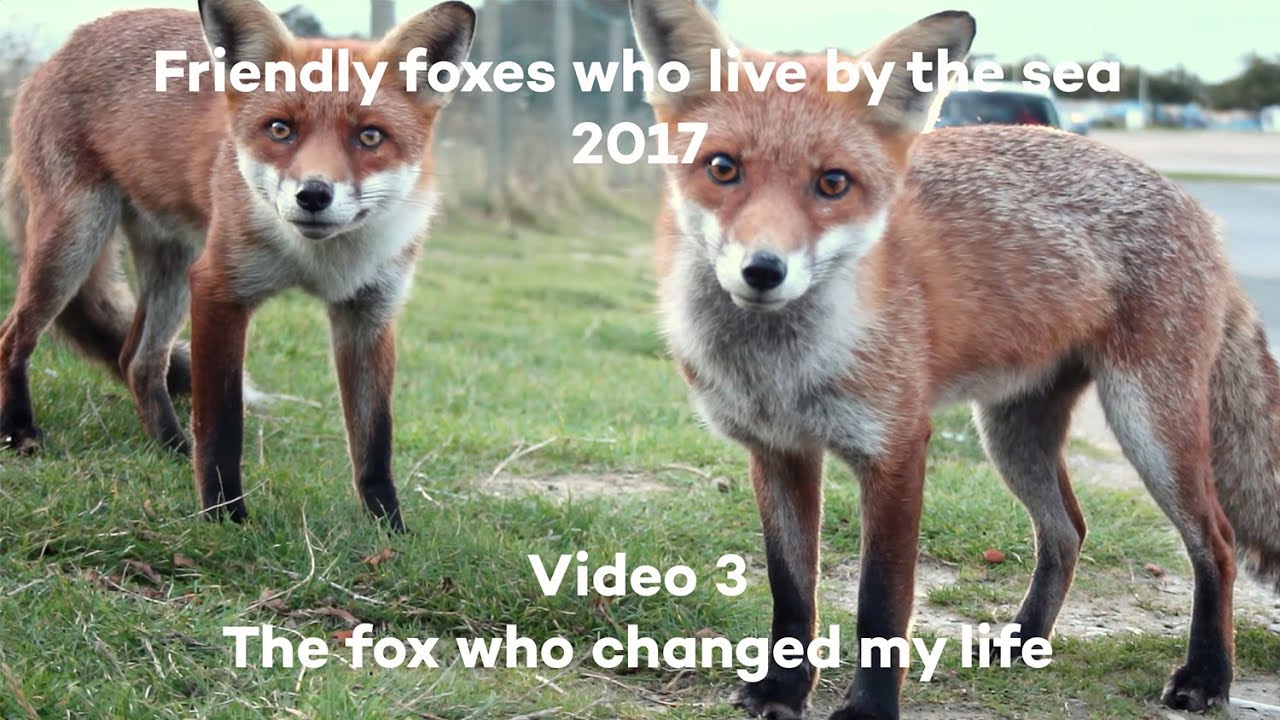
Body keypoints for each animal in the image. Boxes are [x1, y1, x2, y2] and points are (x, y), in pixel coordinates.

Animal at [0, 0, 477, 531]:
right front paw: (225, 515)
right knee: (14, 337)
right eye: (280, 129)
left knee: (137, 361)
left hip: (173, 270)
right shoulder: (220, 290)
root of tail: (60, 51)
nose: (313, 195)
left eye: (370, 136)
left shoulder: (368, 312)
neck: (319, 259)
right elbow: (221, 424)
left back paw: (172, 448)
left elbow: (375, 441)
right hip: (75, 244)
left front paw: (388, 527)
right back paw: (19, 431)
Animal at [629, 1, 1280, 718]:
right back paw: (1025, 640)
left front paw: (867, 709)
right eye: (723, 169)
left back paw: (1208, 676)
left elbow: (881, 603)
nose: (763, 270)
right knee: (1068, 531)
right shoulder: (778, 452)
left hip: (1150, 429)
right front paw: (783, 689)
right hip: (1012, 436)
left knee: (1216, 543)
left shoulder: (895, 448)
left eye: (832, 183)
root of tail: (1201, 211)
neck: (780, 372)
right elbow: (792, 592)